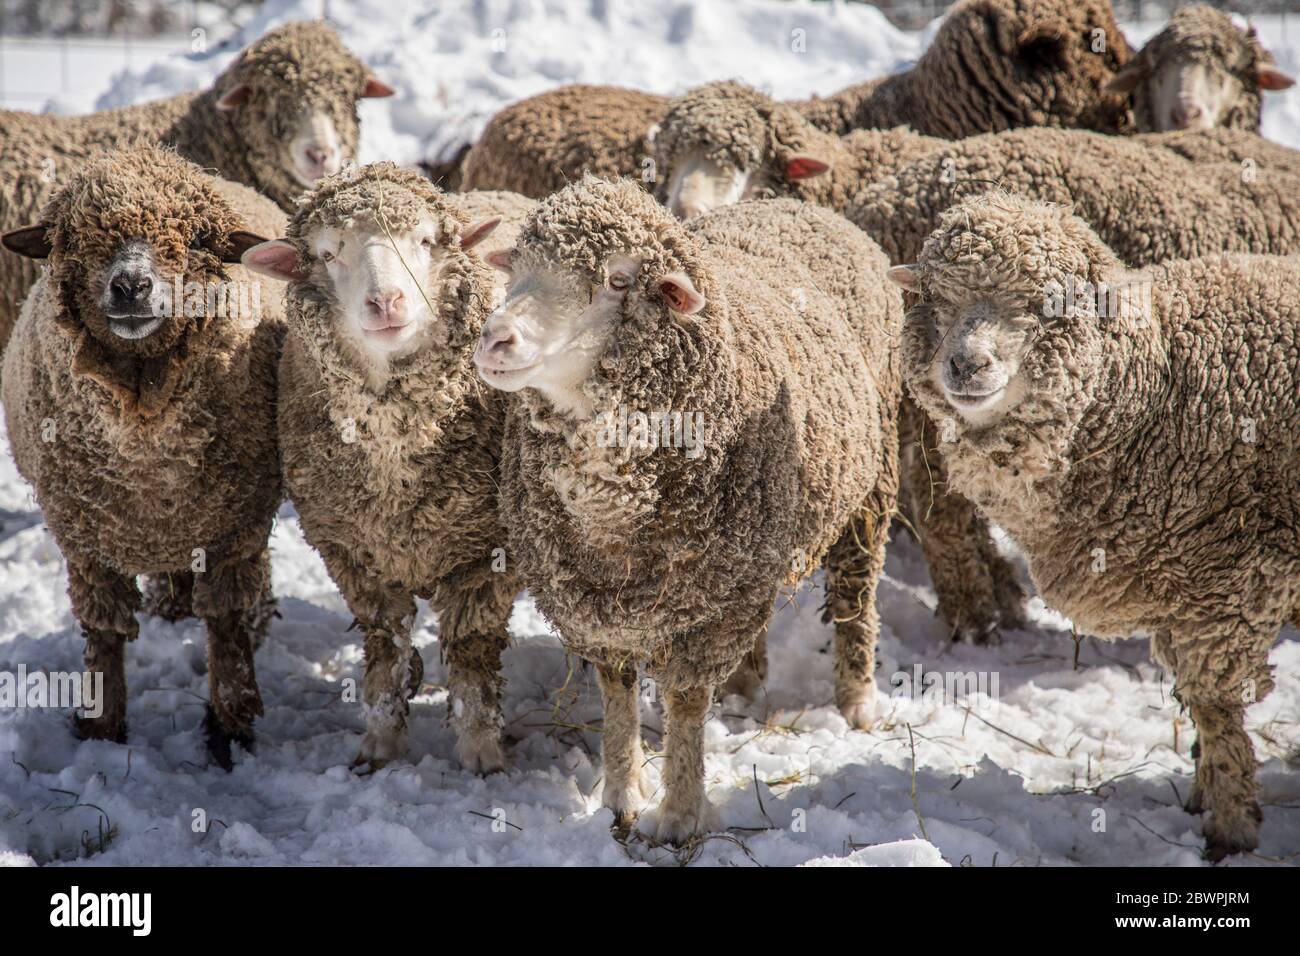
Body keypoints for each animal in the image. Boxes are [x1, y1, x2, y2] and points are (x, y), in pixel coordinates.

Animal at [0, 146, 286, 768]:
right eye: (71, 236)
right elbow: (103, 632)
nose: (130, 286)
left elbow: (226, 627)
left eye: (200, 238)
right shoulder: (84, 539)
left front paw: (229, 730)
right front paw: (101, 730)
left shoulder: (235, 531)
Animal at [241, 164, 531, 772]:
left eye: (424, 241)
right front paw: (380, 744)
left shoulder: (485, 557)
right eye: (328, 254)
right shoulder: (353, 555)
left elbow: (470, 657)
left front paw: (481, 754)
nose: (388, 302)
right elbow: (385, 647)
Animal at [473, 177, 902, 842]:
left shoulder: (708, 620)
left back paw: (857, 699)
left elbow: (685, 702)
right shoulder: (595, 605)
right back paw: (747, 684)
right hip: (749, 557)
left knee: (857, 592)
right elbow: (618, 691)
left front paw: (678, 814)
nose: (495, 338)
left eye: (618, 280)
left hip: (870, 487)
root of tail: (798, 204)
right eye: (514, 266)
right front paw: (621, 795)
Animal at [888, 192, 1300, 859]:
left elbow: (1214, 707)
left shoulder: (1230, 583)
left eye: (1043, 304)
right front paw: (1204, 794)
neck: (1153, 391)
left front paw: (1230, 827)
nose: (966, 364)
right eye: (937, 298)